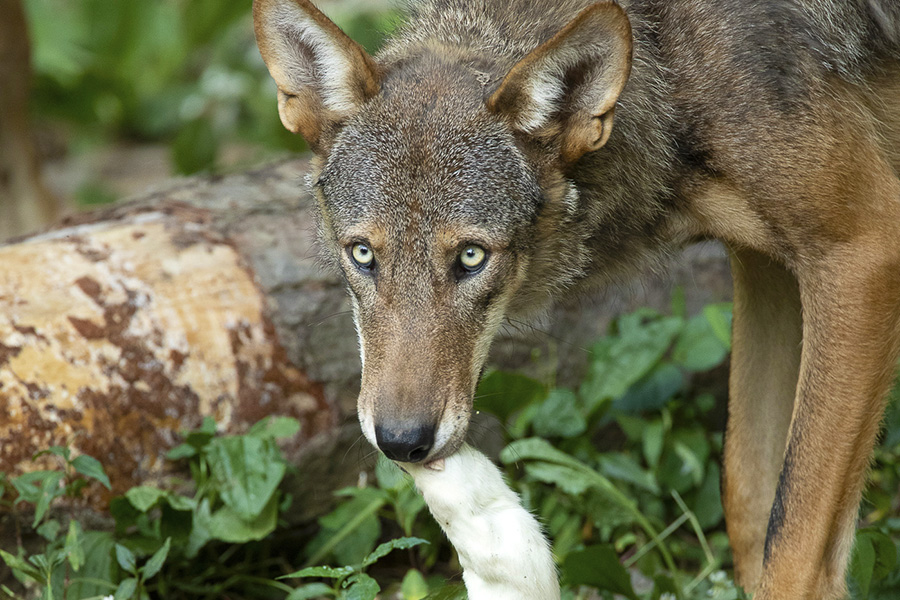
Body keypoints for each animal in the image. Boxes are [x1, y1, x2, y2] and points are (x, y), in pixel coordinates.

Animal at [252, 0, 900, 597]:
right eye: (363, 254)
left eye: (471, 257)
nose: (402, 441)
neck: (666, 59)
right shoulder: (765, 265)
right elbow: (748, 502)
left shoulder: (860, 255)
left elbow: (791, 557)